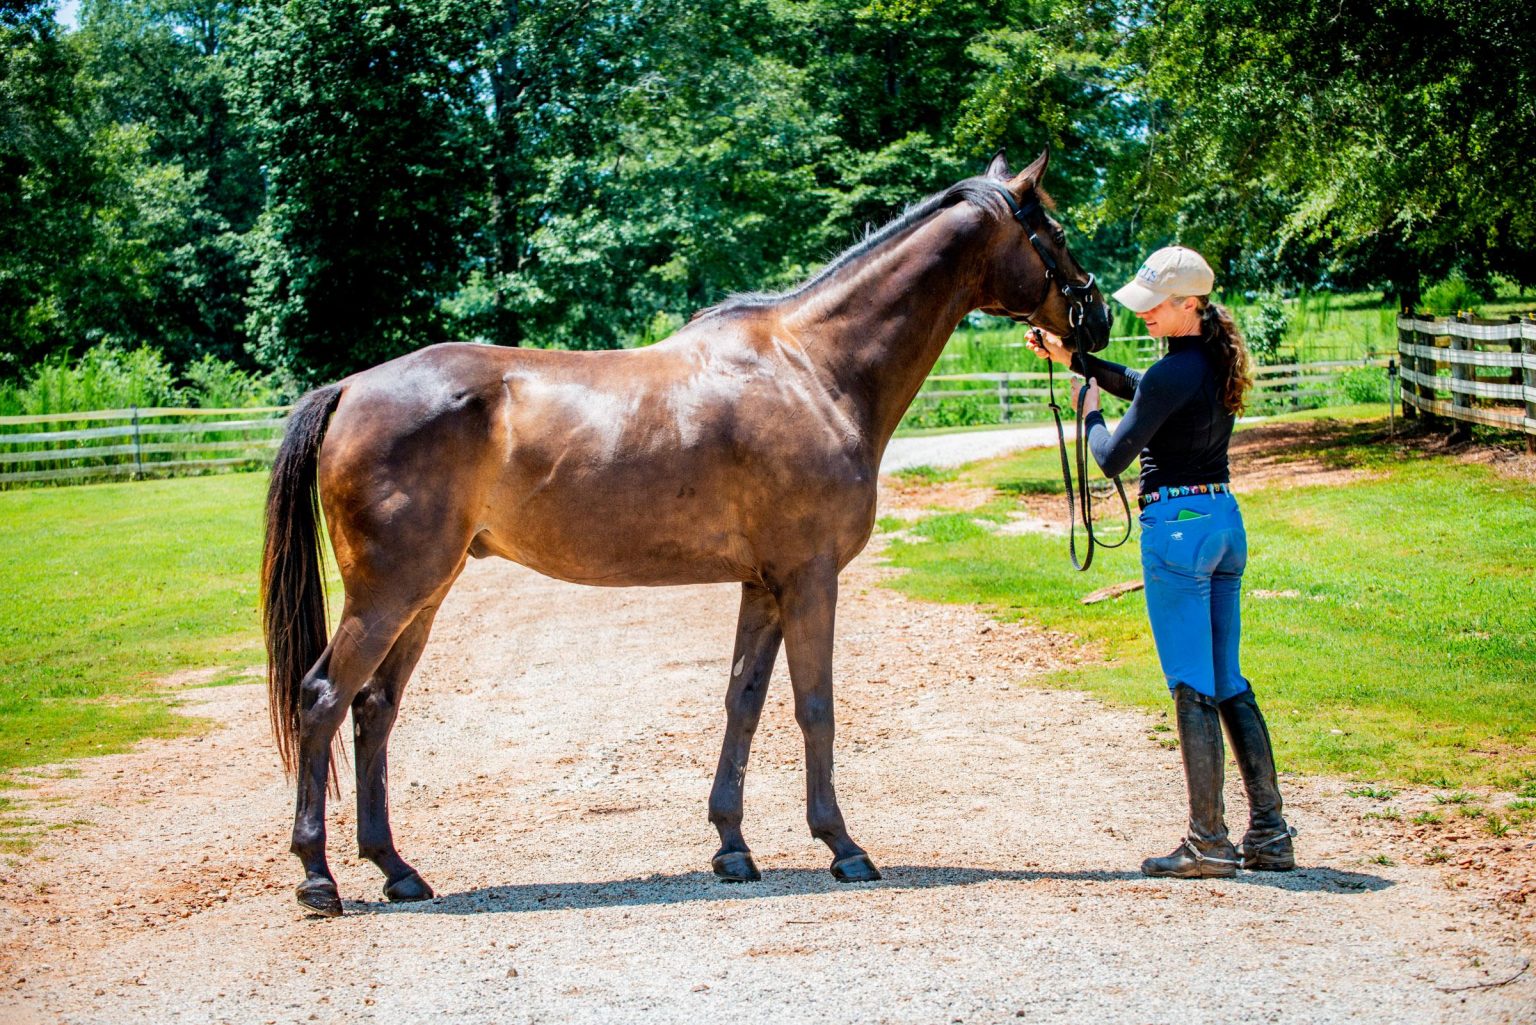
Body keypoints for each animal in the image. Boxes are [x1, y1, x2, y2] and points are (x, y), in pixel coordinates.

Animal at [261, 148, 1110, 917]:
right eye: (1054, 230)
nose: (1097, 317)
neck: (815, 370)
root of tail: (350, 388)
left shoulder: (764, 583)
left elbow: (744, 701)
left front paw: (732, 845)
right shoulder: (810, 576)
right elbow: (815, 705)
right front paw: (842, 846)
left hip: (425, 593)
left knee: (374, 708)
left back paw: (396, 869)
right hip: (389, 593)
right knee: (324, 697)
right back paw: (318, 877)